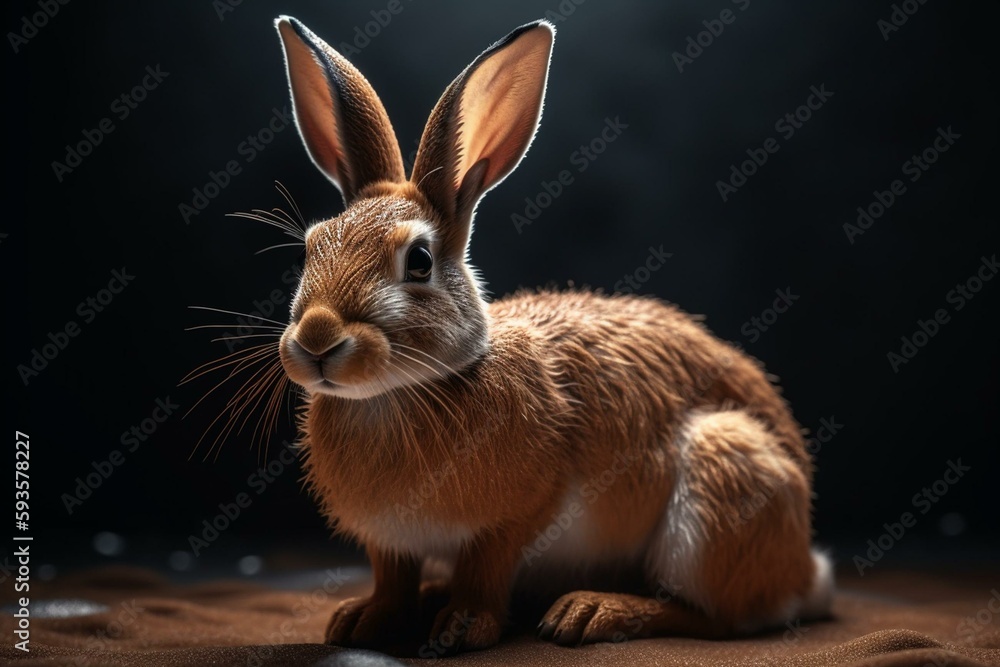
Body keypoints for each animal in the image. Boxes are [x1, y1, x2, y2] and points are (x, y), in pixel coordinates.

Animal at [272, 15, 833, 653]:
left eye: (418, 262)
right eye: (311, 247)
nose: (316, 338)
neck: (402, 392)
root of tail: (805, 570)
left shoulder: (518, 514)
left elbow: (488, 565)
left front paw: (464, 626)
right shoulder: (389, 542)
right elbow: (392, 579)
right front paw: (363, 622)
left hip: (719, 490)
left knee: (717, 617)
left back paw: (592, 611)